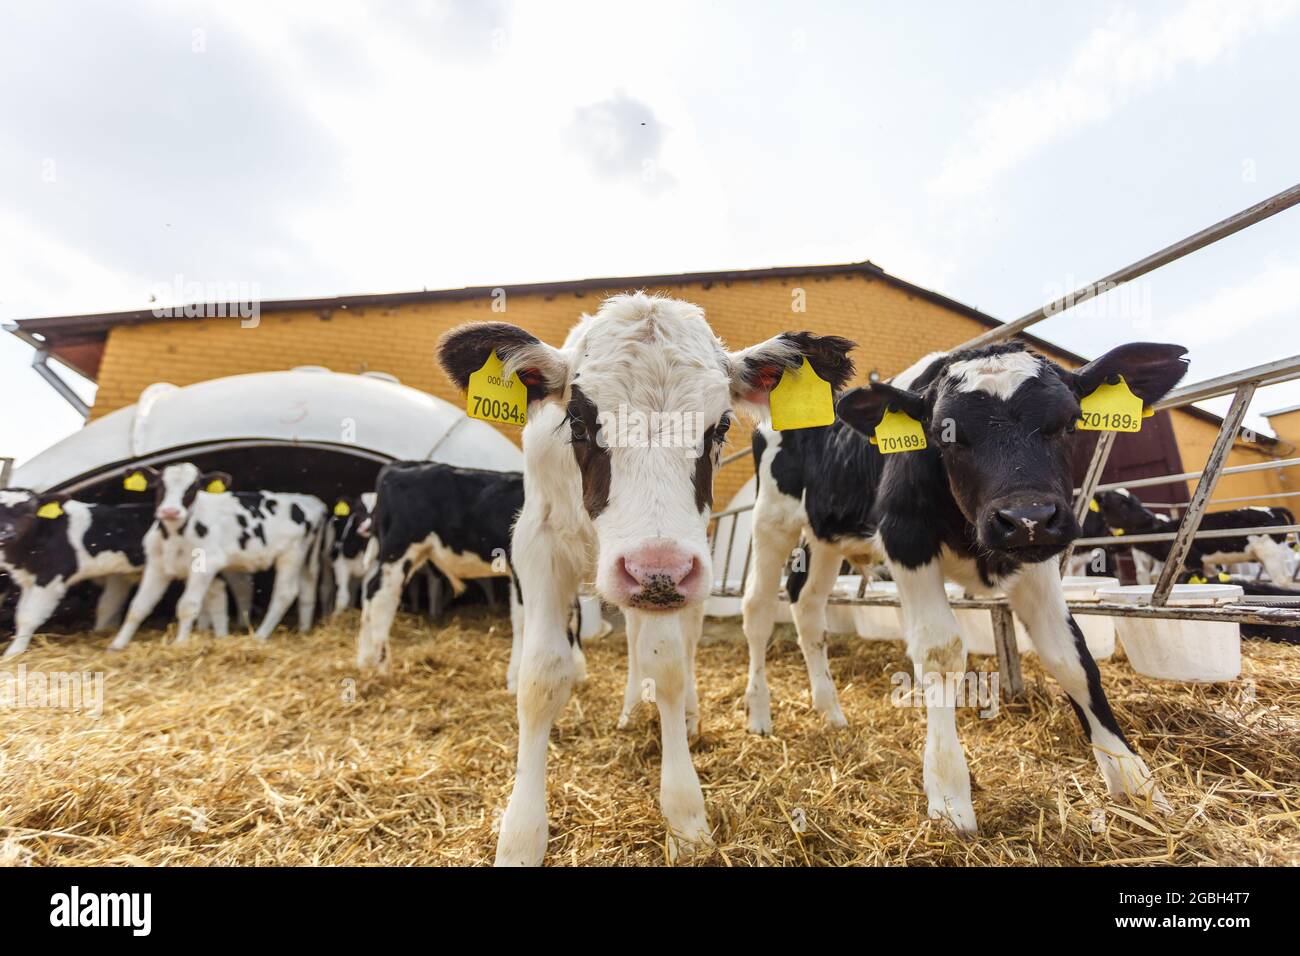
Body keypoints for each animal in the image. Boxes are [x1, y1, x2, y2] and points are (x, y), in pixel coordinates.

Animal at [108, 463, 327, 649]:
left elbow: (187, 605)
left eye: (193, 487)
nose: (170, 511)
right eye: (161, 484)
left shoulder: (205, 566)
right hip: (305, 558)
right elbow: (138, 606)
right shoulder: (157, 566)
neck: (174, 536)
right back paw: (304, 630)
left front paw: (180, 644)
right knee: (307, 589)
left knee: (285, 593)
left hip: (291, 554)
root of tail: (310, 500)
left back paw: (259, 636)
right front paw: (117, 644)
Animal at [437, 291, 855, 865]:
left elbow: (671, 668)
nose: (655, 568)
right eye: (578, 420)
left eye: (721, 426)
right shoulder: (538, 543)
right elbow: (542, 676)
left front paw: (685, 817)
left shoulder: (677, 568)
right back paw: (632, 709)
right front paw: (521, 835)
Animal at [745, 340, 1188, 834]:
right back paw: (759, 713)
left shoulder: (1036, 555)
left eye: (1070, 421)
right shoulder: (904, 536)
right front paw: (949, 794)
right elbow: (941, 653)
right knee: (758, 609)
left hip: (825, 536)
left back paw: (830, 711)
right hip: (771, 520)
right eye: (946, 436)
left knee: (807, 606)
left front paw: (1134, 780)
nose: (1028, 517)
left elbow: (1070, 656)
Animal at [1093, 488, 1295, 586]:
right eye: (1121, 504)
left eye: (1136, 501)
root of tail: (1271, 509)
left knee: (1283, 581)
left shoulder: (1195, 560)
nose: (1149, 517)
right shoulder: (1205, 565)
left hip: (1271, 555)